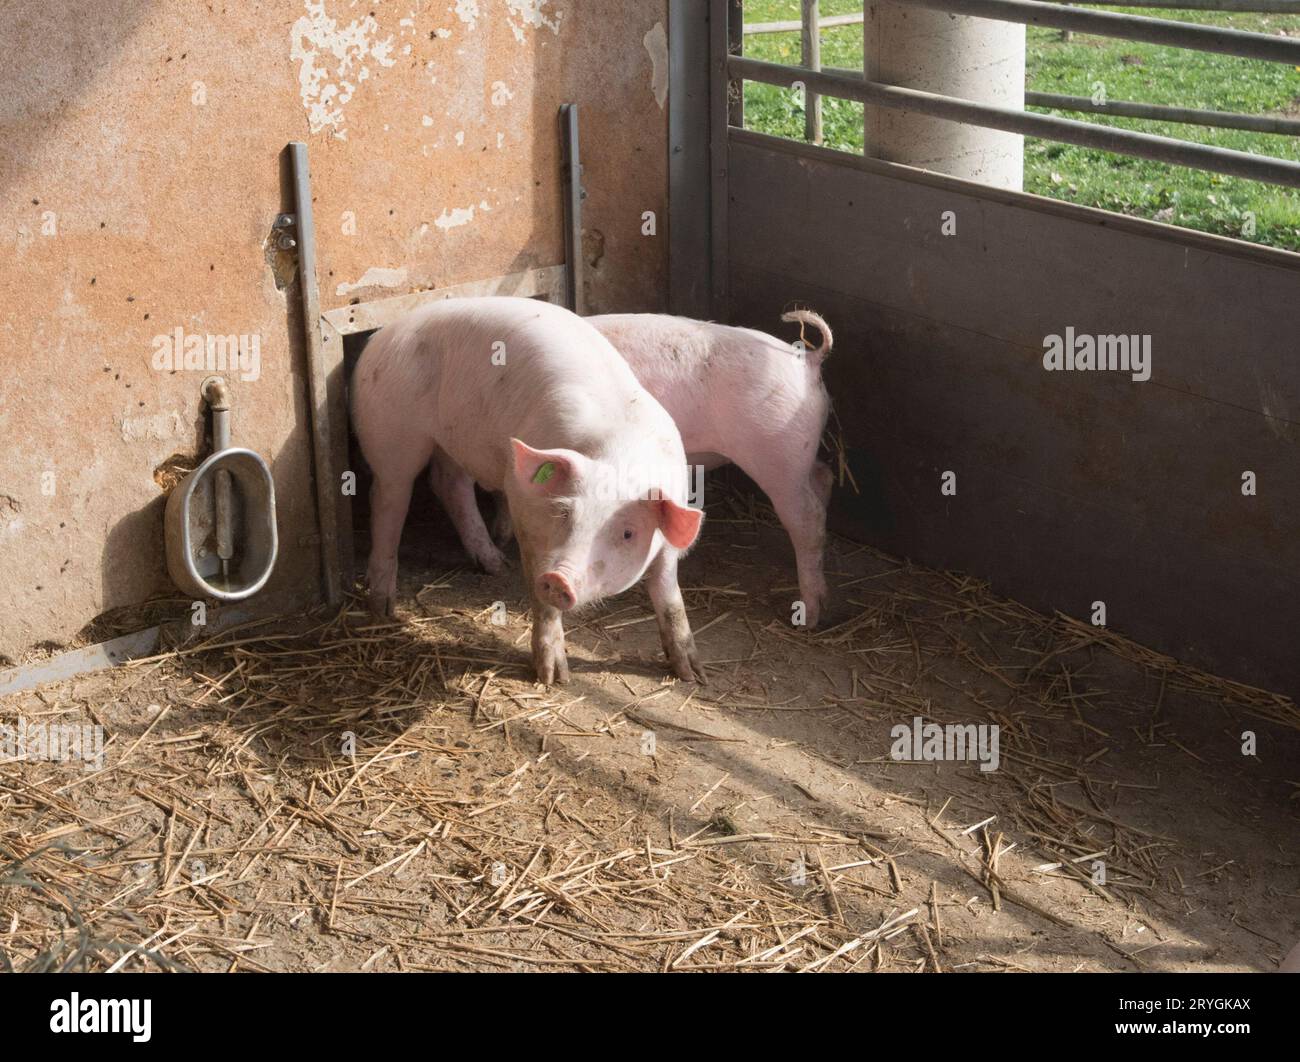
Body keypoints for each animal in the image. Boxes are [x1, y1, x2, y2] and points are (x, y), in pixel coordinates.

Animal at [350, 296, 705, 684]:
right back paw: (382, 607)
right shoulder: (525, 509)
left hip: (457, 438)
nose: (558, 578)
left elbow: (668, 591)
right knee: (388, 498)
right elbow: (541, 596)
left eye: (628, 533)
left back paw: (494, 564)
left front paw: (692, 673)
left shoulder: (669, 534)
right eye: (564, 513)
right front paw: (554, 678)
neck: (618, 456)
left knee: (449, 483)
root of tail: (380, 335)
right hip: (391, 432)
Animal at [588, 310, 834, 627]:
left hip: (778, 455)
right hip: (799, 454)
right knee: (823, 478)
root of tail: (809, 360)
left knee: (807, 517)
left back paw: (809, 616)